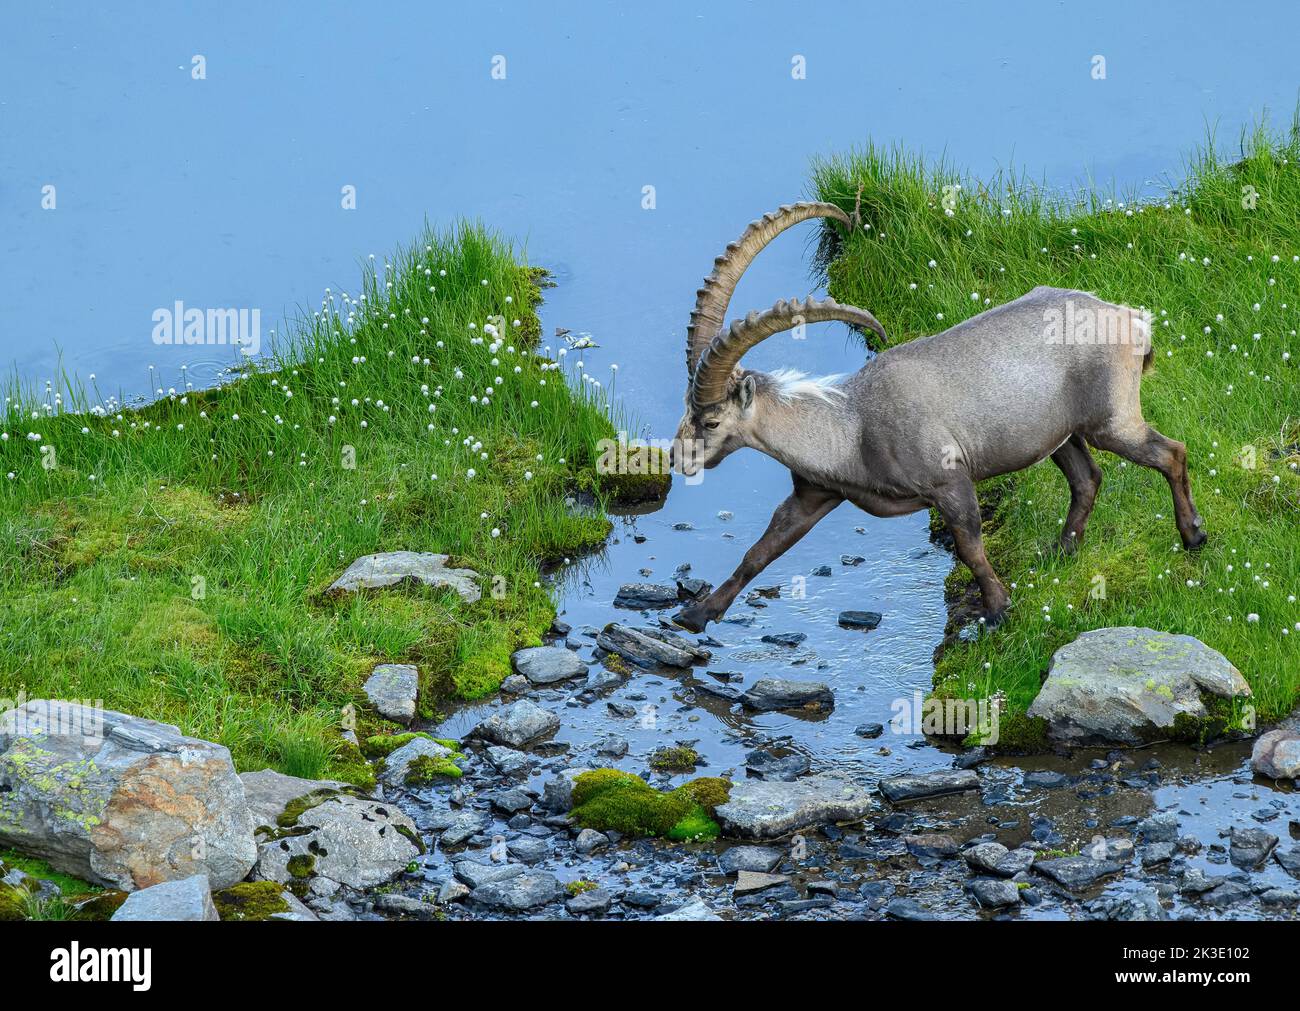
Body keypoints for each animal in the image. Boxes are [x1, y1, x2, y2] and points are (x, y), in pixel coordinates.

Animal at [668, 202, 1205, 632]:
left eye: (711, 422)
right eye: (686, 411)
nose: (678, 459)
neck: (851, 426)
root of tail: (1131, 318)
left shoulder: (950, 483)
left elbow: (970, 548)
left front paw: (998, 610)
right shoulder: (815, 494)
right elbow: (761, 550)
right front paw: (697, 614)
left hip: (1109, 420)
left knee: (1170, 453)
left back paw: (1193, 535)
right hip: (1060, 433)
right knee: (1087, 477)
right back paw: (1061, 551)